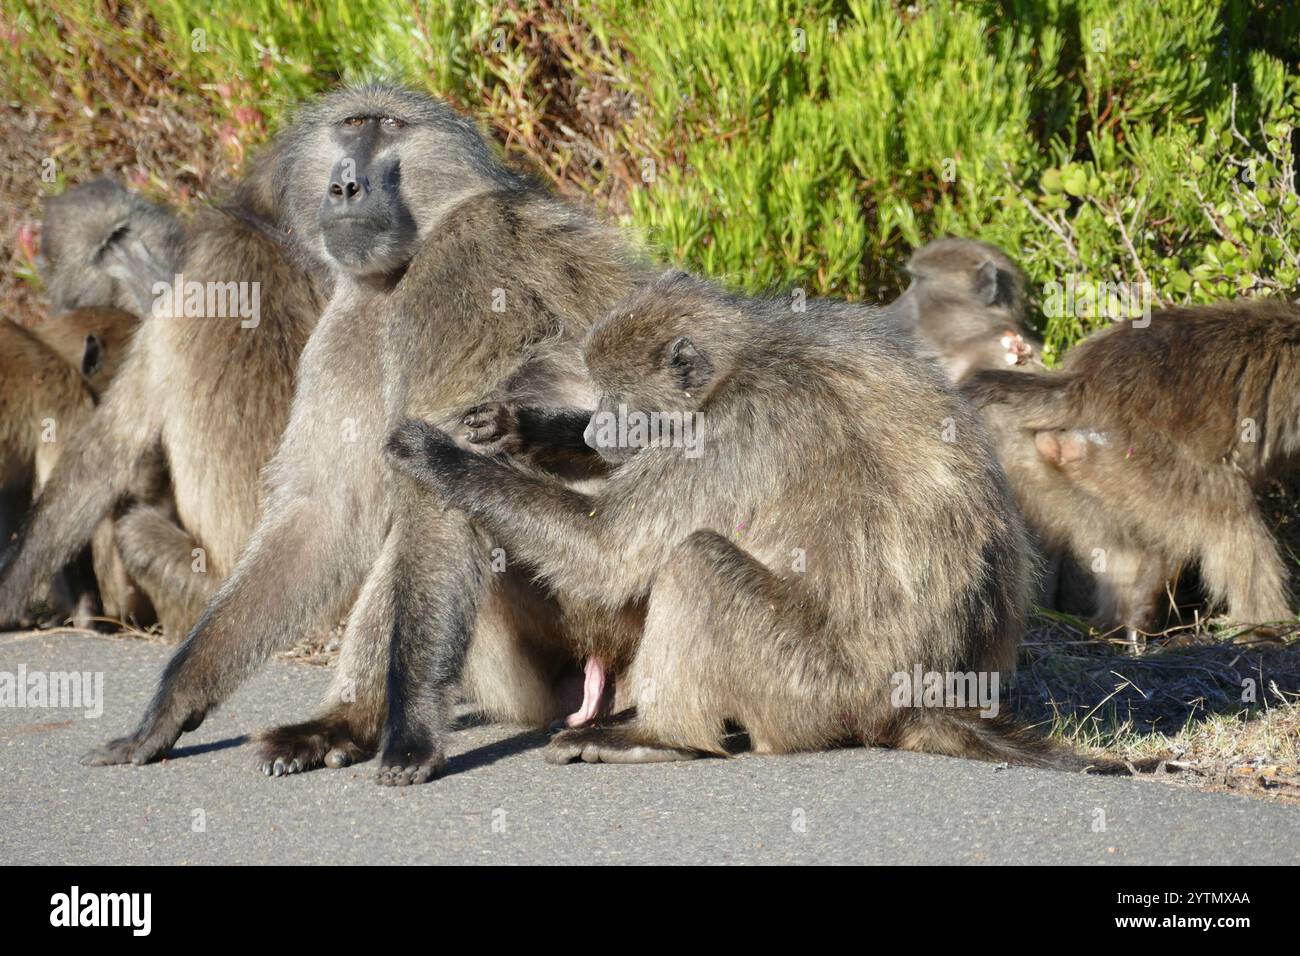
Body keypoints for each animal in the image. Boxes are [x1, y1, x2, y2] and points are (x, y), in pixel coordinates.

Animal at [0, 146, 327, 641]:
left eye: (119, 234)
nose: (142, 267)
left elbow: (99, 464)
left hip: (197, 592)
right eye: (104, 248)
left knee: (132, 528)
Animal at [77, 84, 647, 779]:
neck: (400, 272)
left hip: (596, 605)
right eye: (350, 126)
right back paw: (336, 728)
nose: (346, 184)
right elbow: (326, 512)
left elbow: (438, 483)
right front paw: (169, 708)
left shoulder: (464, 266)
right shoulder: (348, 324)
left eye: (390, 127)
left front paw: (413, 737)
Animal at [375, 267, 1089, 774]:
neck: (746, 357)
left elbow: (608, 551)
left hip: (808, 688)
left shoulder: (732, 432)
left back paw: (659, 737)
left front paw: (435, 456)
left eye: (618, 400)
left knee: (695, 563)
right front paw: (521, 428)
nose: (601, 429)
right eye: (599, 399)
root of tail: (916, 701)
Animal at [964, 299, 1300, 644]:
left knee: (1118, 547)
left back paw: (1124, 626)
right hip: (1139, 456)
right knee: (1229, 514)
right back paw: (1267, 628)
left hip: (1053, 467)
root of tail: (1081, 386)